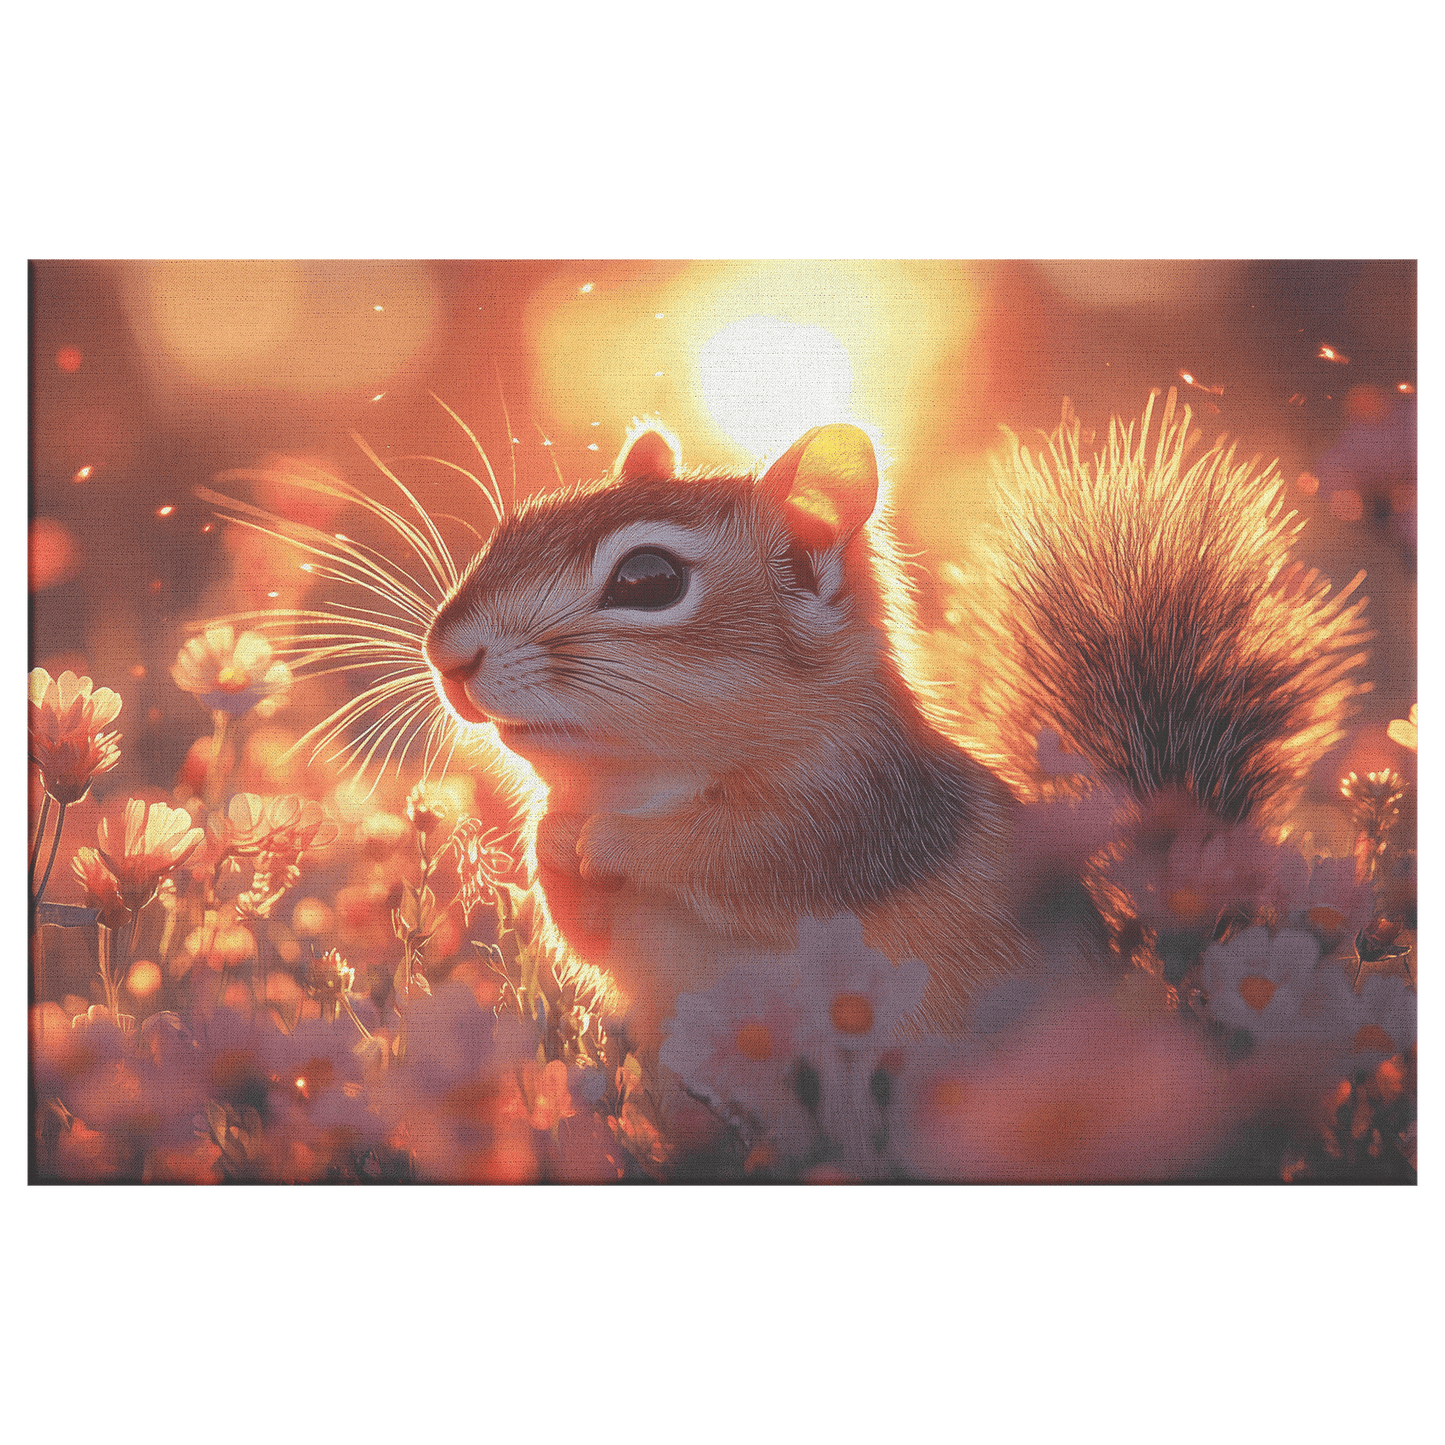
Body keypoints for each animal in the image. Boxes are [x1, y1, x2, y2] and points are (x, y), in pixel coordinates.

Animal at [423, 389, 1370, 1044]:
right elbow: (584, 933)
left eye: (648, 578)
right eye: (518, 521)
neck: (643, 778)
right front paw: (552, 839)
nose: (446, 652)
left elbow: (737, 854)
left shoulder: (857, 814)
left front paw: (609, 839)